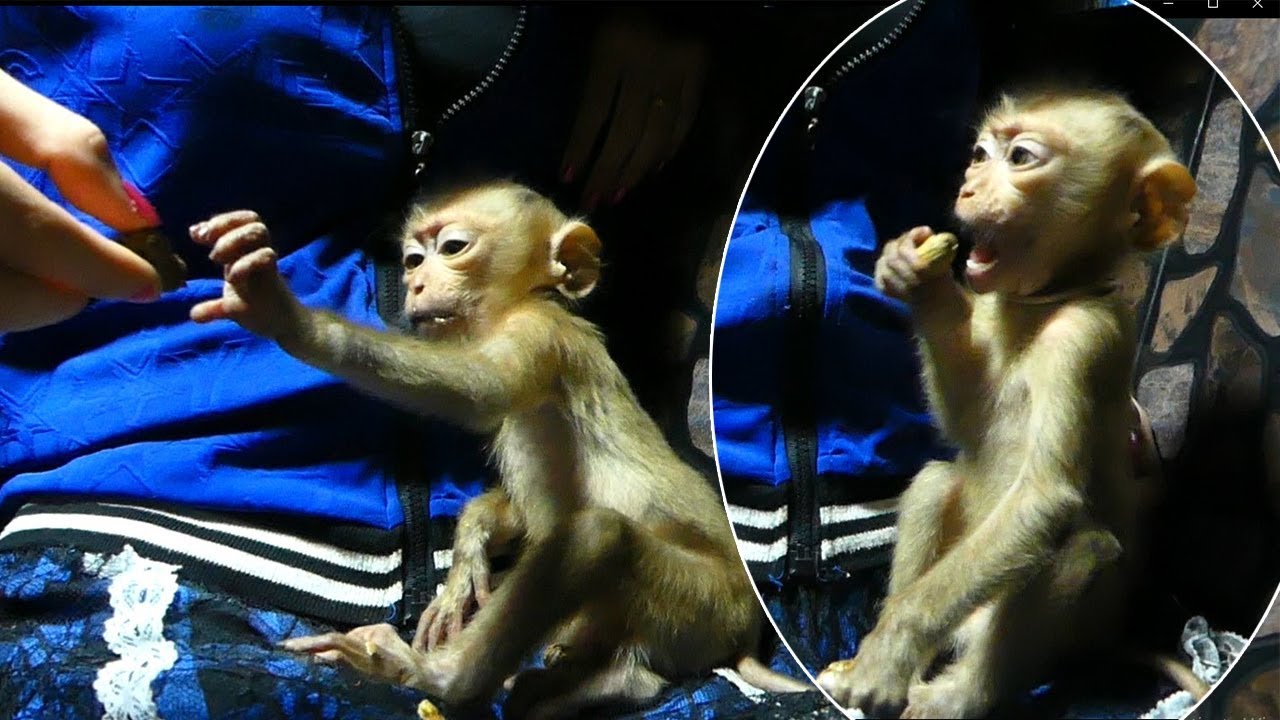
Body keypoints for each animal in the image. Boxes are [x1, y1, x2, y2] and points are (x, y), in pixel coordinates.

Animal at [187, 182, 810, 719]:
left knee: (598, 536)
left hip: (707, 605)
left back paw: (441, 679)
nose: (415, 284)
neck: (522, 304)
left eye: (453, 248)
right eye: (413, 259)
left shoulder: (540, 333)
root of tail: (743, 637)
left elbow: (475, 390)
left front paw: (286, 315)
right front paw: (471, 549)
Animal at [814, 89, 1199, 718]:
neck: (1043, 303)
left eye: (1020, 158)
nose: (968, 188)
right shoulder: (991, 309)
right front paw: (915, 274)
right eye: (979, 155)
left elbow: (1045, 500)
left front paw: (888, 653)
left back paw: (956, 696)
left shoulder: (1083, 341)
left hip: (1069, 629)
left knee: (1078, 546)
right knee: (937, 482)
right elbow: (965, 425)